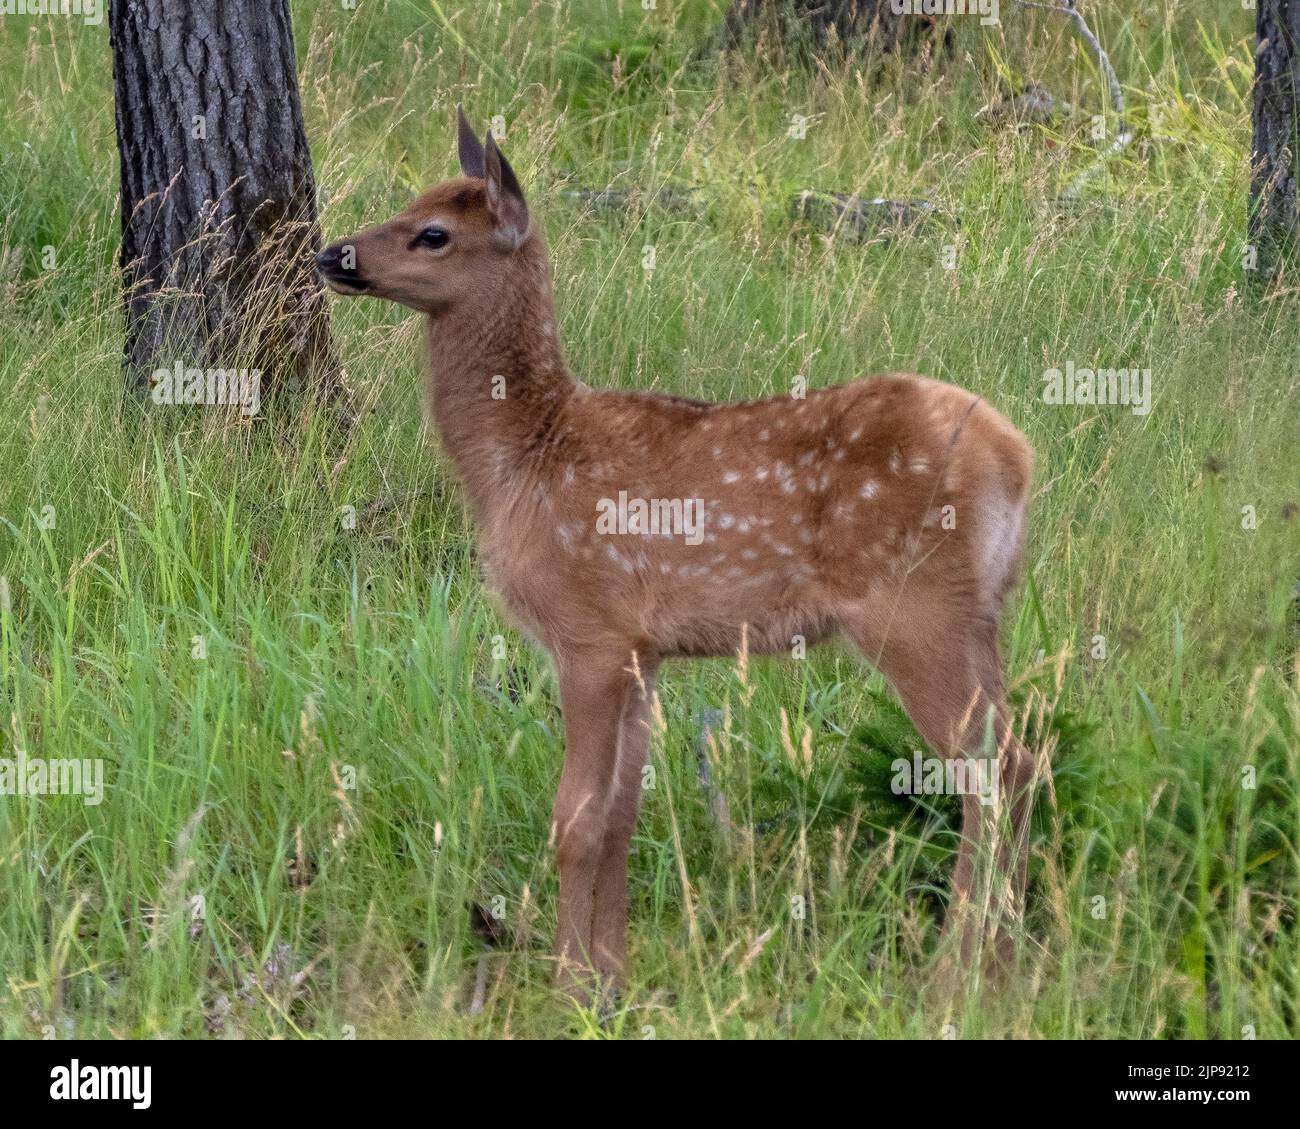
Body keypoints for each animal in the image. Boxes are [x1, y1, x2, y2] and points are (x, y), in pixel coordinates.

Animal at [317, 108, 1037, 1002]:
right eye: (411, 203)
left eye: (434, 233)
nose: (331, 254)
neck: (522, 459)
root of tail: (1017, 457)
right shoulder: (644, 649)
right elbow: (624, 813)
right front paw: (612, 974)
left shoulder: (587, 631)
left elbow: (576, 816)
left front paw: (567, 985)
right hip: (983, 615)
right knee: (1021, 757)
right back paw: (1003, 961)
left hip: (915, 609)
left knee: (995, 768)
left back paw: (959, 975)